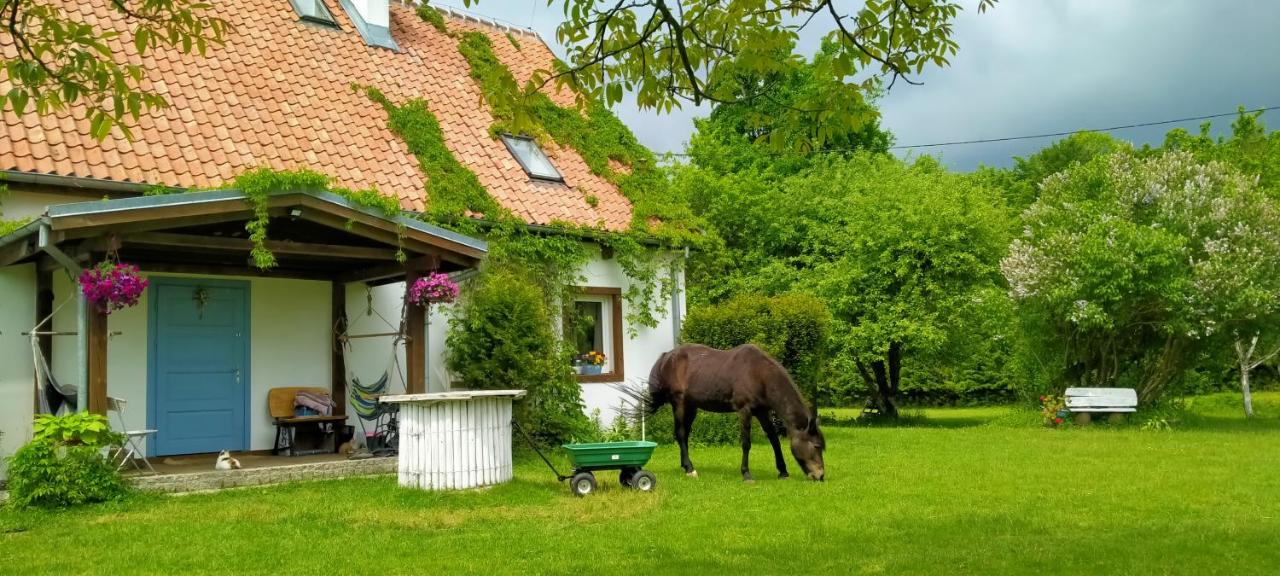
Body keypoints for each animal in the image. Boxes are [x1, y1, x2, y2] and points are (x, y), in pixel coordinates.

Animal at [647, 343, 826, 481]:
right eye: (816, 446)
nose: (820, 476)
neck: (758, 374)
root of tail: (667, 356)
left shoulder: (762, 412)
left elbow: (774, 440)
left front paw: (783, 471)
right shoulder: (745, 411)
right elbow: (746, 443)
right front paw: (746, 473)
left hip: (691, 407)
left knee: (683, 435)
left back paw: (685, 466)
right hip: (679, 404)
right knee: (681, 433)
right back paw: (690, 469)